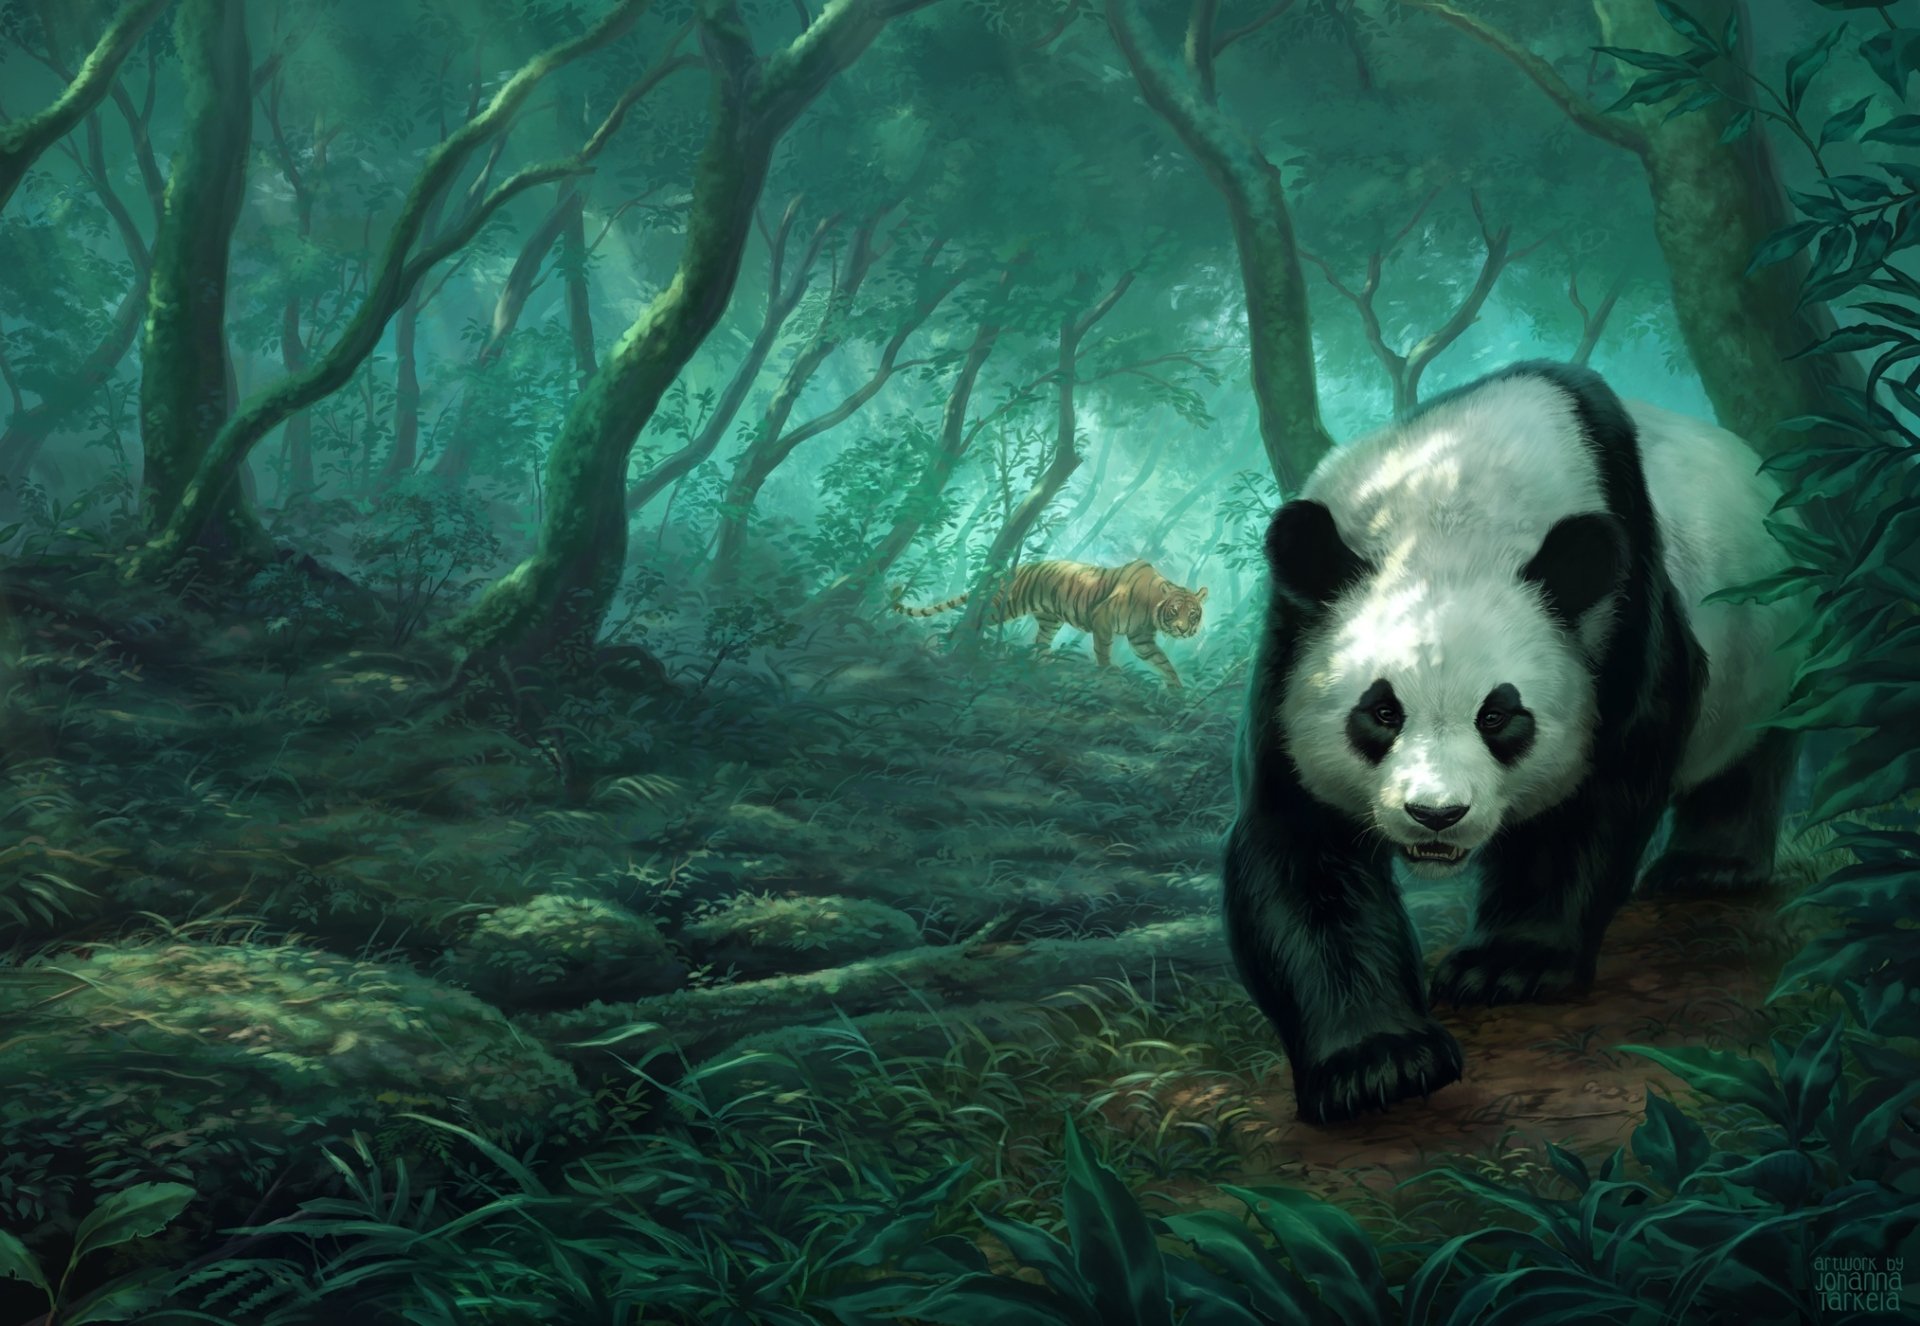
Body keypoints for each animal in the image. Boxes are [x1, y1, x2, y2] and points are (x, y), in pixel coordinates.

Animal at [1223, 361, 1808, 1125]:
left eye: (1499, 717)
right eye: (1380, 712)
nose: (1435, 815)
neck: (1450, 505)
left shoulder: (1622, 608)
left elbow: (1599, 784)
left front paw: (1505, 966)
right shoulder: (1294, 644)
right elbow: (1298, 845)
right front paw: (1377, 1063)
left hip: (1772, 639)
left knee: (1750, 755)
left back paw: (1710, 868)